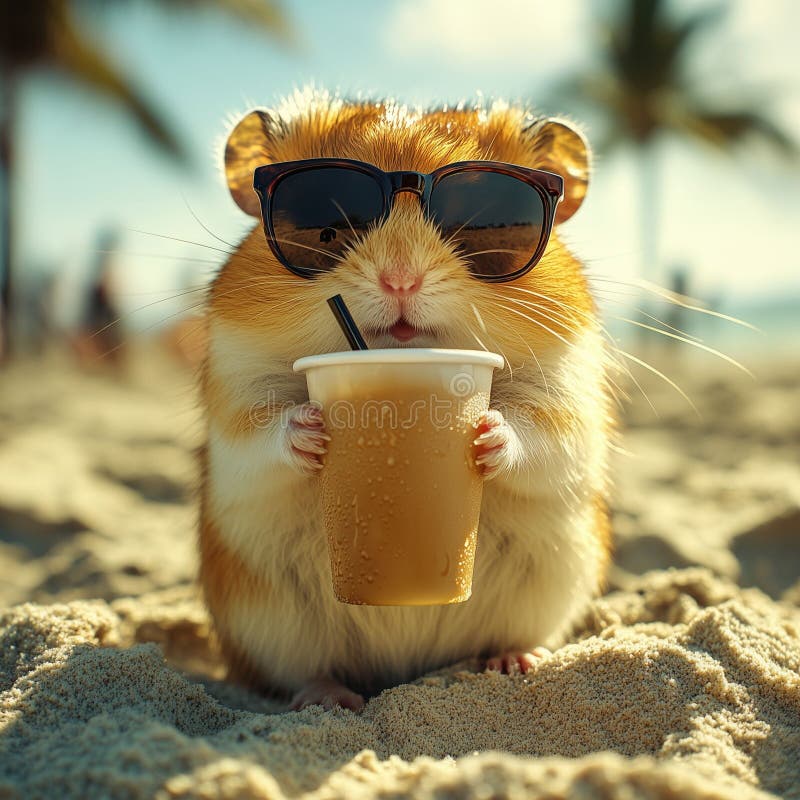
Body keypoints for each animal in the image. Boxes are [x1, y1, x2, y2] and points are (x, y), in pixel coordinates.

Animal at [199, 89, 613, 712]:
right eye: (323, 226)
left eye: (483, 218)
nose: (400, 281)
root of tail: (404, 672)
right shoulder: (234, 400)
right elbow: (258, 439)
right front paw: (310, 429)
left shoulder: (570, 401)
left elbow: (539, 435)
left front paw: (487, 432)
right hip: (265, 623)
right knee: (304, 673)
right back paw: (330, 698)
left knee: (515, 637)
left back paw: (516, 662)